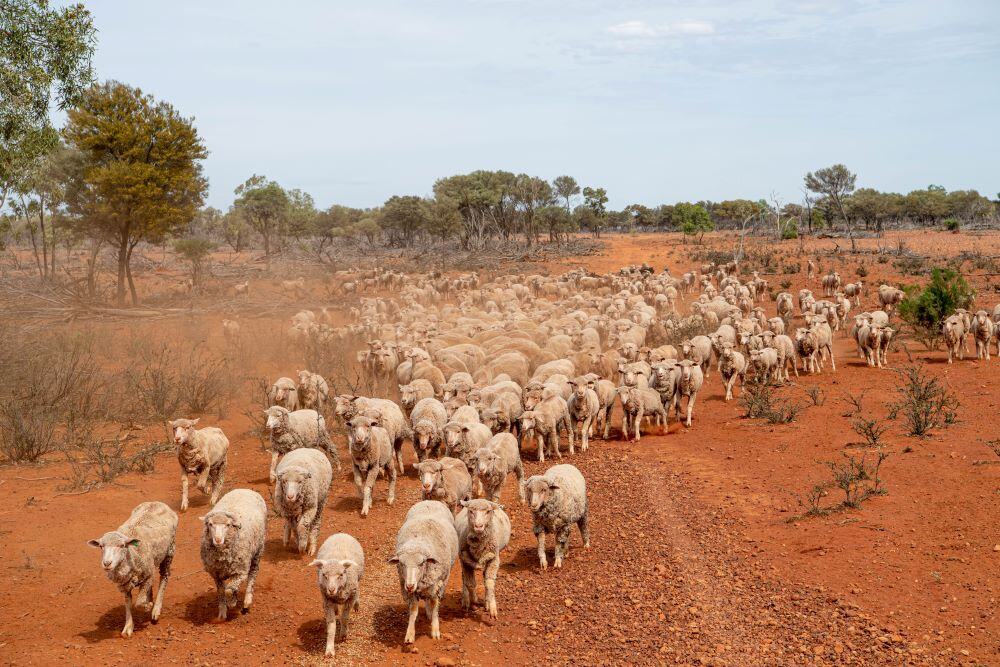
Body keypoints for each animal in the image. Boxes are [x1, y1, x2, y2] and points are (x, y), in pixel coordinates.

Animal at [88, 501, 178, 637]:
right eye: (101, 546)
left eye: (122, 545)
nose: (107, 563)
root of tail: (156, 502)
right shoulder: (125, 585)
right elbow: (128, 603)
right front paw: (128, 627)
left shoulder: (147, 575)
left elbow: (139, 603)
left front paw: (147, 606)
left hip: (169, 551)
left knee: (164, 577)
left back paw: (156, 609)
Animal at [199, 489, 267, 621]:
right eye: (210, 524)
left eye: (228, 525)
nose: (218, 540)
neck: (222, 557)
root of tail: (245, 489)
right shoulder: (216, 574)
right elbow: (222, 592)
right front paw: (222, 611)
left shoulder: (240, 572)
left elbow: (228, 591)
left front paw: (232, 602)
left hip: (258, 551)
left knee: (253, 574)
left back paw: (247, 601)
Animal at [390, 500, 460, 644]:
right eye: (402, 563)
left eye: (422, 563)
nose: (410, 585)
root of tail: (431, 501)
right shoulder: (410, 591)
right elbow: (413, 610)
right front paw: (410, 634)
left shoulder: (437, 584)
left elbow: (434, 605)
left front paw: (435, 629)